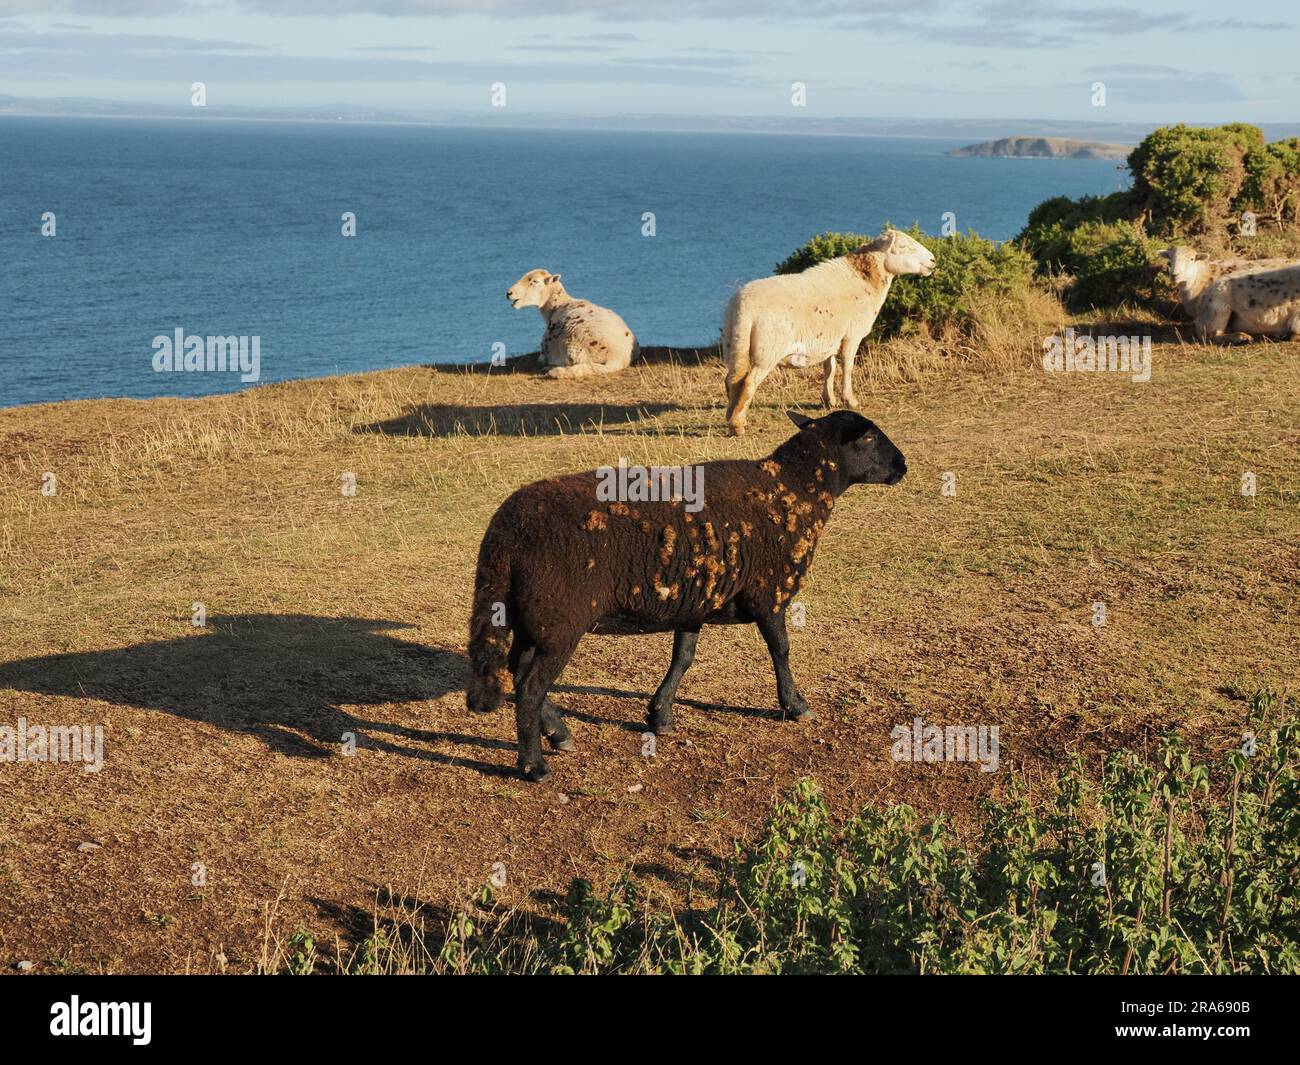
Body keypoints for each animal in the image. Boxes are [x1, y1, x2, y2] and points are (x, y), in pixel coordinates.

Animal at [465, 409, 907, 782]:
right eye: (870, 437)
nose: (903, 465)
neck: (794, 488)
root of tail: (504, 533)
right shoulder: (769, 592)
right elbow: (781, 650)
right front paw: (794, 705)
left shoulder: (694, 599)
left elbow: (684, 658)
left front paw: (659, 716)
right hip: (559, 620)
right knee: (530, 687)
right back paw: (534, 764)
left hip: (530, 618)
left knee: (518, 672)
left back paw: (558, 733)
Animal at [507, 269, 639, 378]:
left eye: (535, 281)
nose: (509, 293)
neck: (558, 306)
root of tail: (618, 358)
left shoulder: (545, 351)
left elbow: (541, 360)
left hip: (576, 348)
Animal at [722, 229, 935, 436]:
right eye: (903, 246)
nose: (933, 260)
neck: (865, 279)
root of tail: (743, 306)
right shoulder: (852, 335)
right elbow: (847, 366)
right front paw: (850, 400)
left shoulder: (831, 338)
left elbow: (829, 368)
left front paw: (829, 400)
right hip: (767, 351)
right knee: (748, 383)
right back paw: (738, 426)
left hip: (734, 344)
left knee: (732, 380)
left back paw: (730, 419)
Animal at [1158, 247, 1300, 341]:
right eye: (1169, 261)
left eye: (1192, 259)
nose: (1174, 275)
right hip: (1218, 310)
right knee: (1211, 336)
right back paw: (1242, 337)